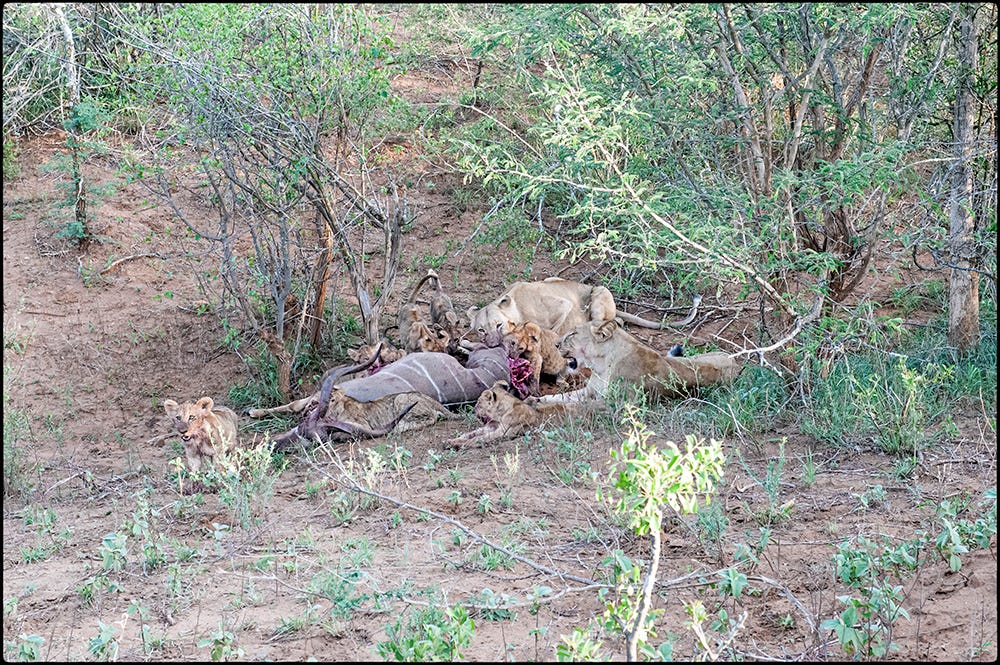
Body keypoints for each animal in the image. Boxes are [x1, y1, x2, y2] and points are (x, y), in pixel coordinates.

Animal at [447, 380, 594, 448]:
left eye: (478, 403)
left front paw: (459, 445)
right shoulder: (491, 427)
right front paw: (452, 441)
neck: (500, 414)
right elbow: (471, 434)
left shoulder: (503, 433)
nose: (473, 411)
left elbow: (479, 439)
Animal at [537, 320, 741, 403]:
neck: (601, 366)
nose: (555, 344)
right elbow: (561, 397)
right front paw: (538, 399)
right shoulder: (589, 390)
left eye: (572, 333)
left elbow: (572, 405)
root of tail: (737, 364)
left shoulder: (617, 403)